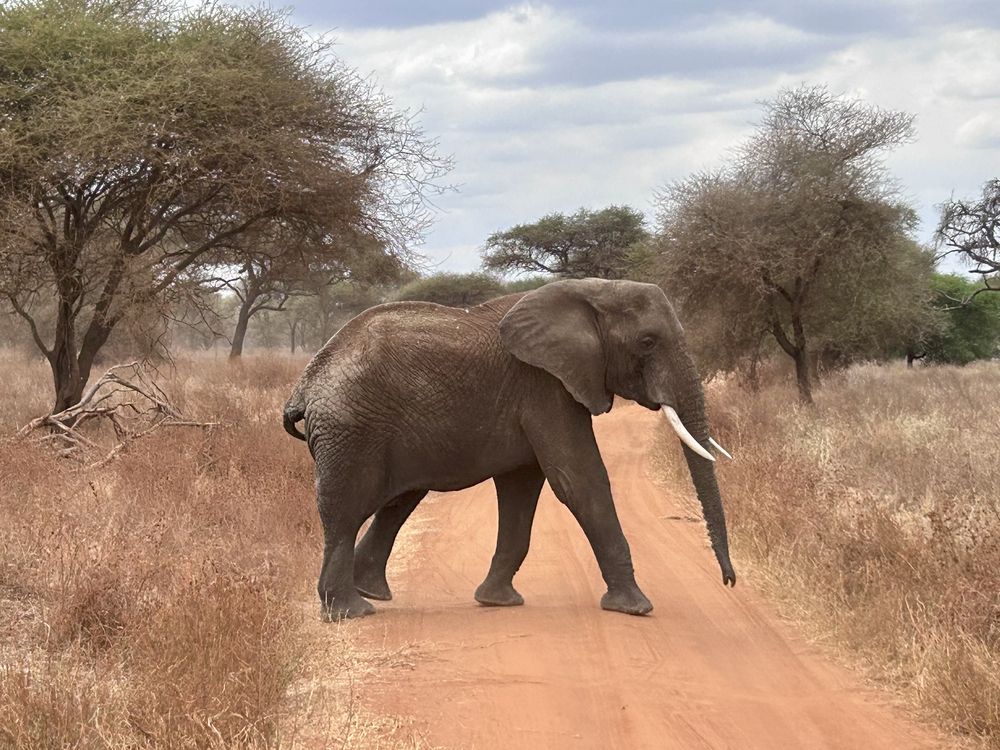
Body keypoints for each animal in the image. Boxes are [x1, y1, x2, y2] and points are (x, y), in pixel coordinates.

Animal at [283, 278, 735, 621]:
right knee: (345, 512)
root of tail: (305, 385)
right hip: (350, 429)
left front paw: (496, 601)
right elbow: (579, 480)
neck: (591, 289)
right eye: (647, 342)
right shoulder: (546, 386)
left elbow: (522, 488)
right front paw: (636, 608)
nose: (729, 581)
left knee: (399, 501)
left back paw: (371, 593)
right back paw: (351, 611)